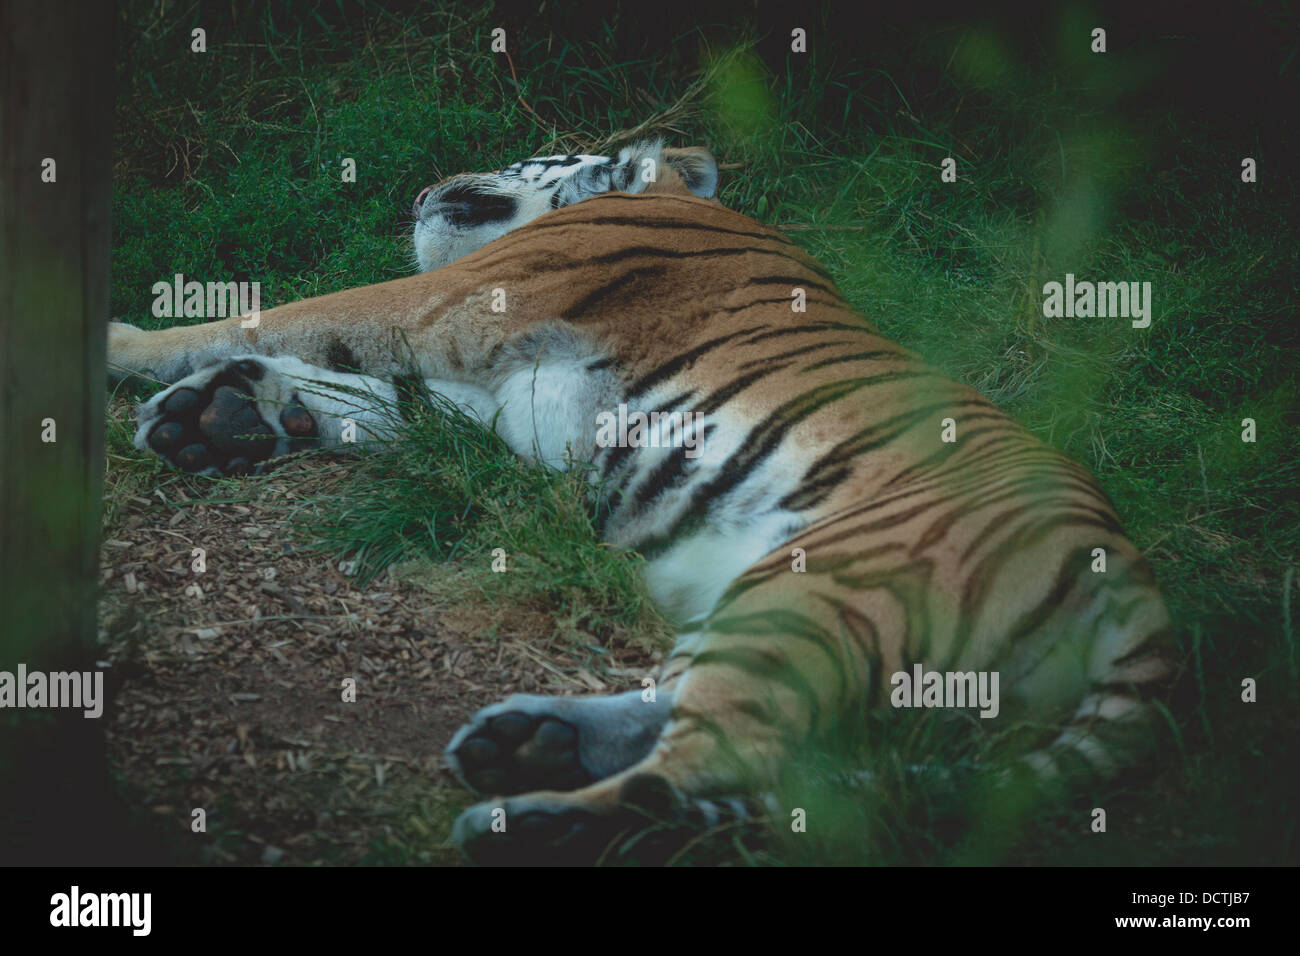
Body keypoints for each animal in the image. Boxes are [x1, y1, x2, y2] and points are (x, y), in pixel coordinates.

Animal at [107, 140, 1176, 864]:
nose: (416, 189)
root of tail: (1138, 591)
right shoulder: (505, 414)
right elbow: (371, 401)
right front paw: (227, 417)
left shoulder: (458, 300)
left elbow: (279, 314)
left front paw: (128, 347)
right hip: (773, 600)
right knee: (739, 736)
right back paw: (525, 743)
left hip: (834, 582)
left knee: (729, 761)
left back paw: (528, 821)